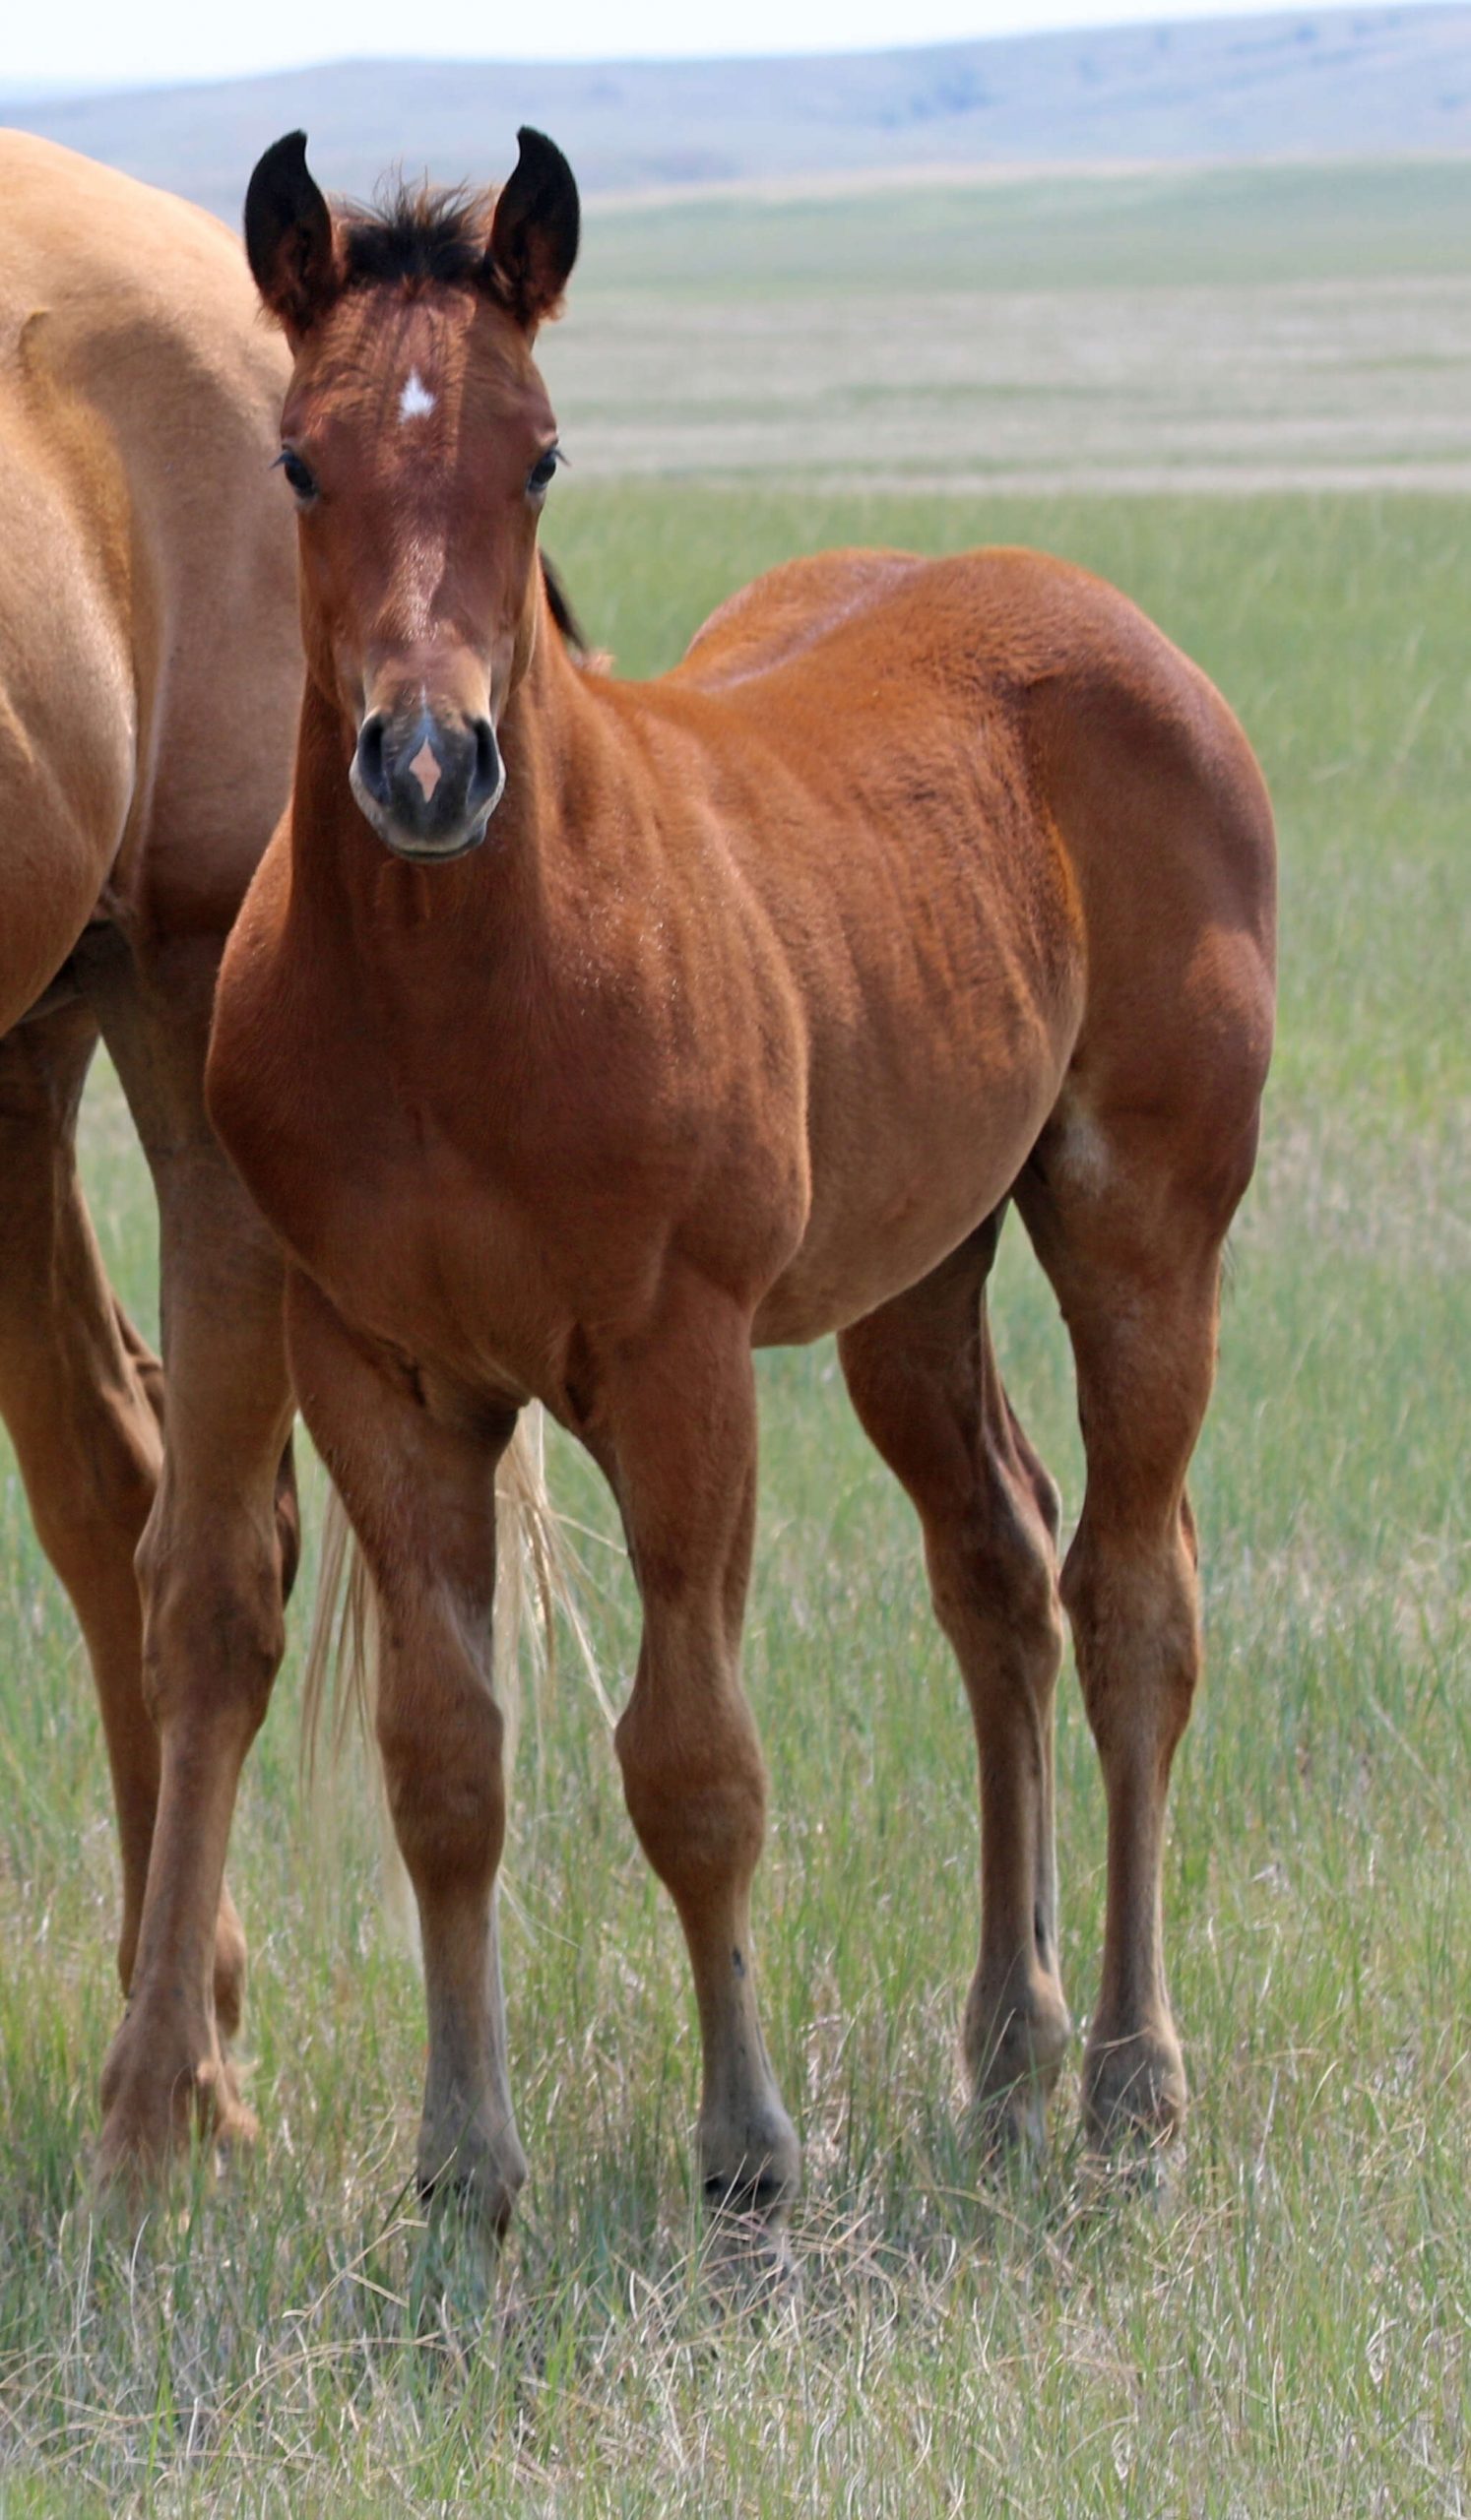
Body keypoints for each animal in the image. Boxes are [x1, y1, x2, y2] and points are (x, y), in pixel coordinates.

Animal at [0, 132, 553, 2196]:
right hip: (28, 1042)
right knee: (114, 1490)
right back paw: (204, 2054)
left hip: (165, 1018)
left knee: (212, 1572)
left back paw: (161, 2110)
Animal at [207, 125, 1276, 2240]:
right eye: (298, 459)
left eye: (539, 452)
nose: (428, 766)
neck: (451, 1017)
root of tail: (1128, 639)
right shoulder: (373, 1375)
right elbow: (443, 1766)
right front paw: (463, 2164)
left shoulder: (677, 1366)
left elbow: (692, 1767)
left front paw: (747, 2145)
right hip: (912, 1279)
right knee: (997, 1575)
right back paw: (1006, 2042)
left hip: (1141, 1230)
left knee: (1130, 1598)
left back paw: (1127, 2072)